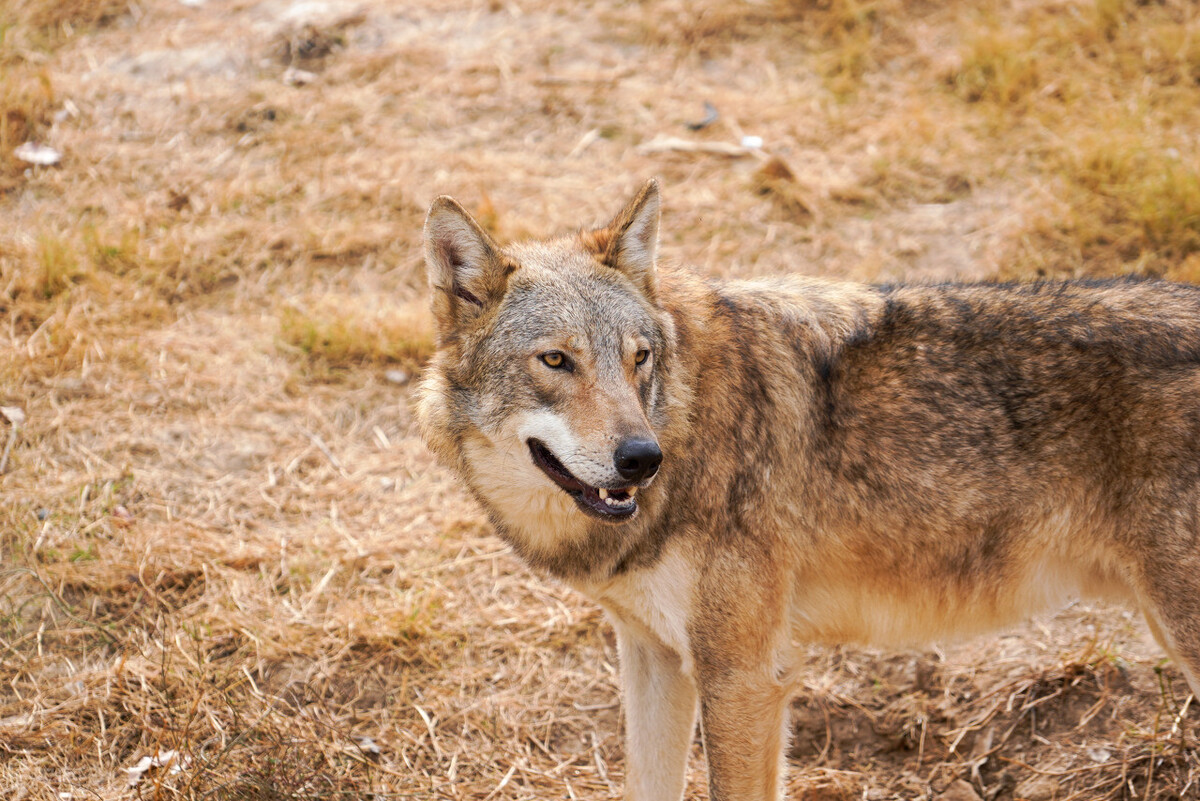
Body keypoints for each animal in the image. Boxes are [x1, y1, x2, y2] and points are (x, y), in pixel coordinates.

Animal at [417, 179, 1200, 801]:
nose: (642, 458)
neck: (692, 419)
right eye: (556, 360)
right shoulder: (654, 656)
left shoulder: (744, 676)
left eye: (639, 359)